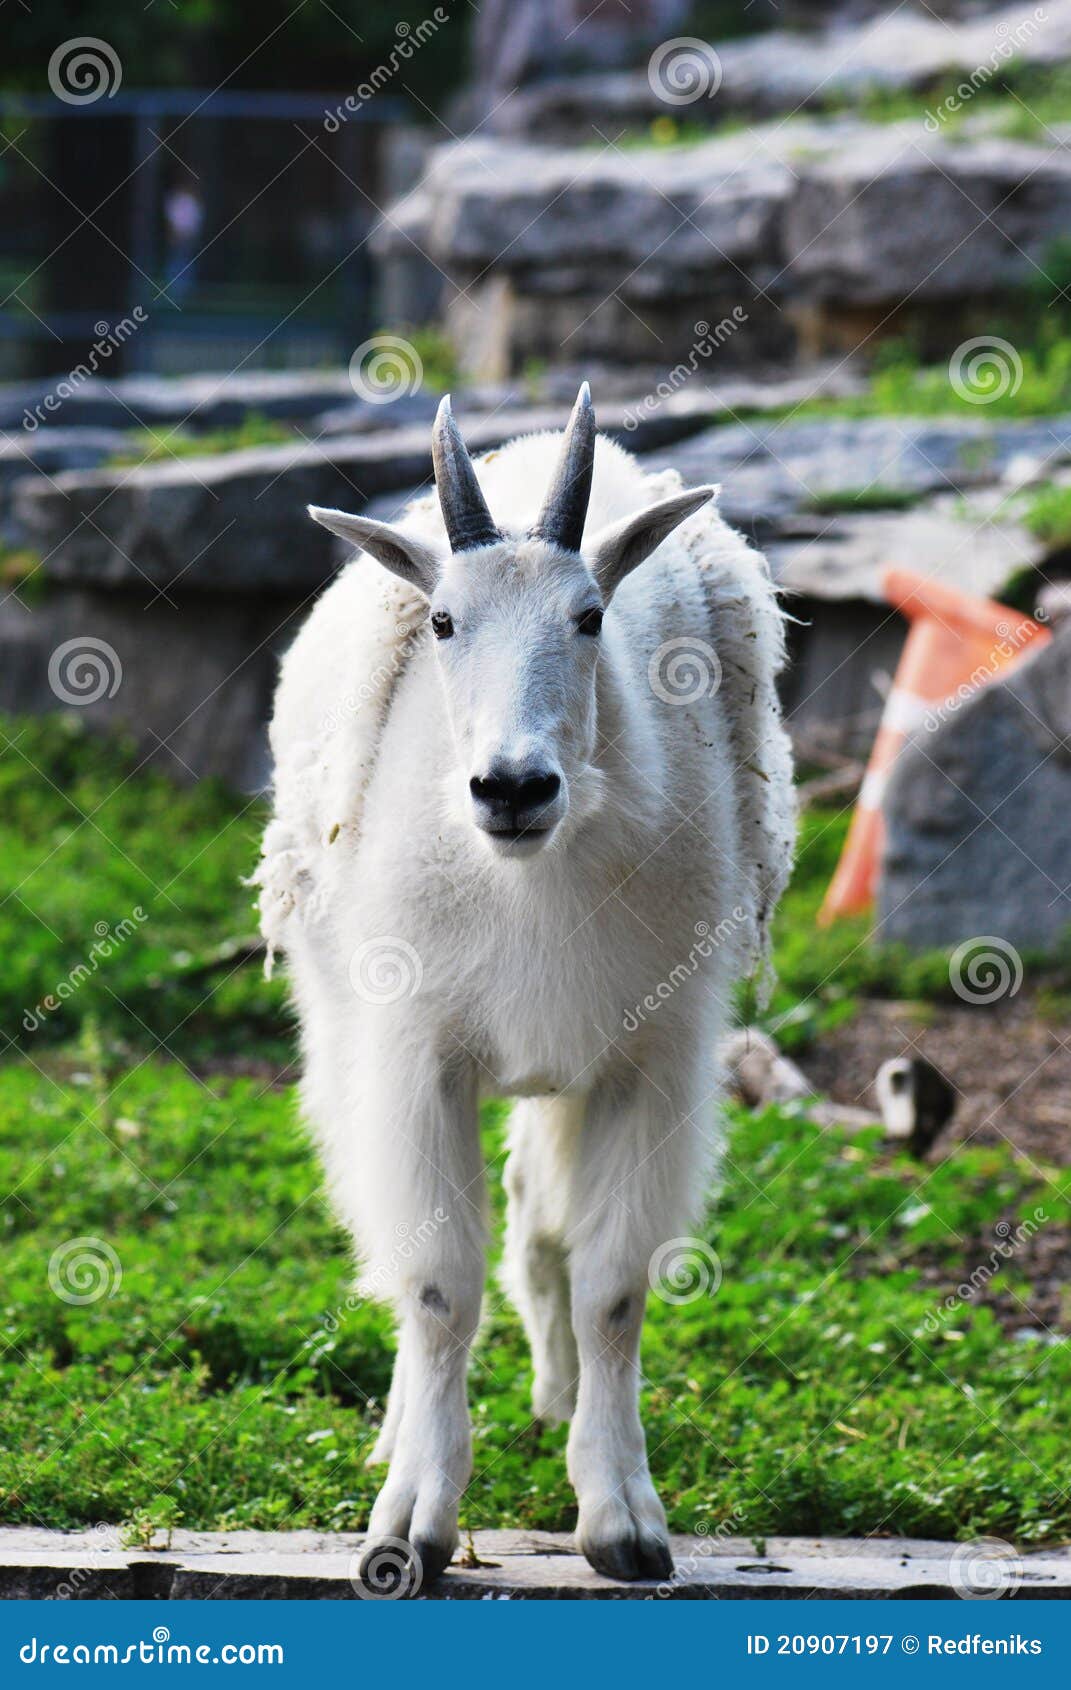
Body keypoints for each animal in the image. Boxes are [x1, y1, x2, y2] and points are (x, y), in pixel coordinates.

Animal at [255, 386, 795, 1590]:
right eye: (444, 623)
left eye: (591, 616)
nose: (512, 787)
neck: (530, 880)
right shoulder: (420, 1059)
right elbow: (437, 1284)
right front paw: (412, 1520)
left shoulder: (649, 1057)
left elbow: (613, 1285)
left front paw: (622, 1517)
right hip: (343, 1025)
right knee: (405, 1249)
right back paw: (398, 1431)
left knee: (539, 1219)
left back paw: (553, 1398)